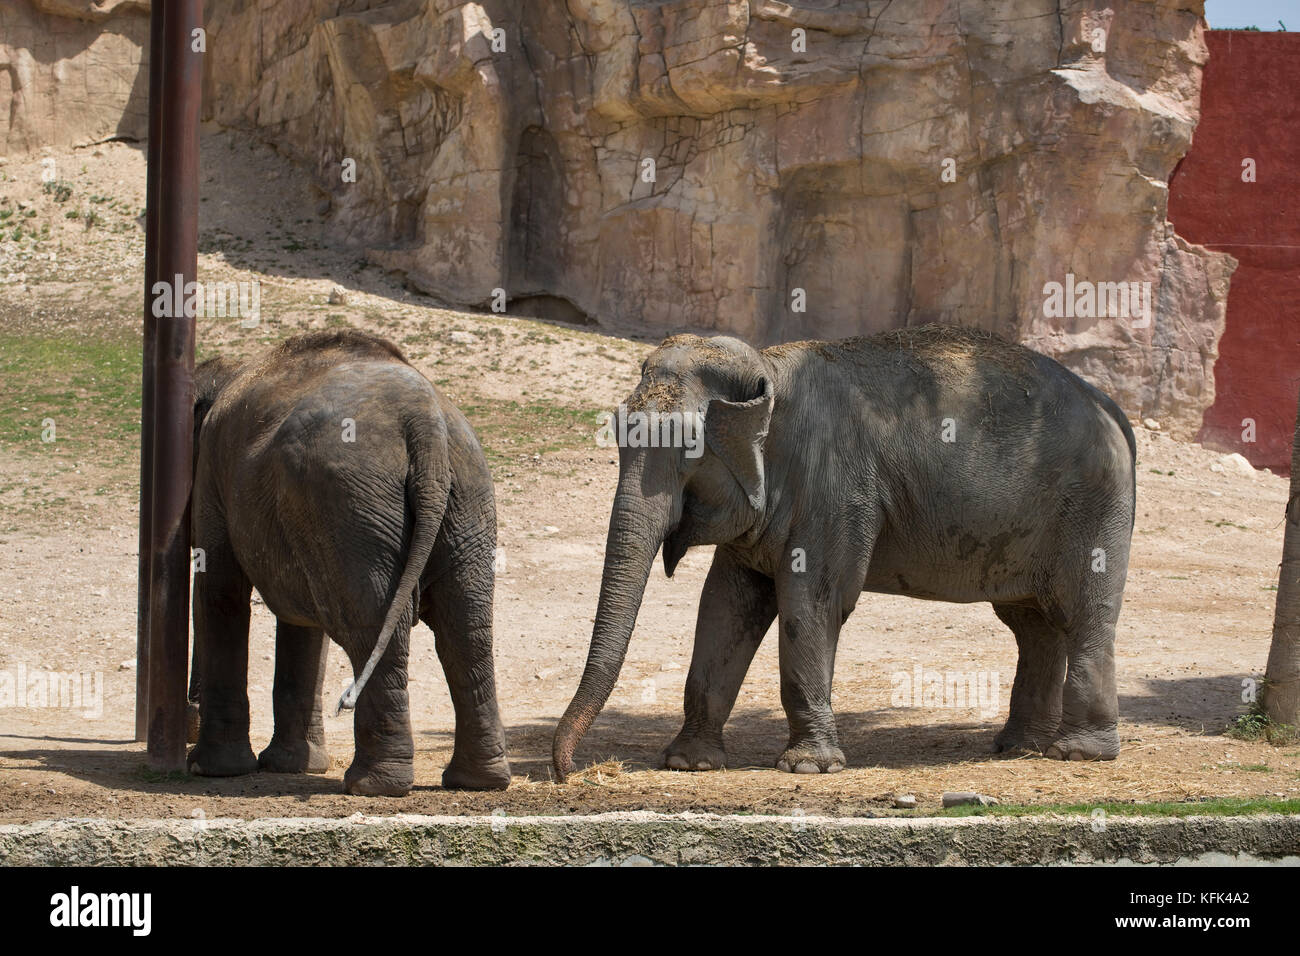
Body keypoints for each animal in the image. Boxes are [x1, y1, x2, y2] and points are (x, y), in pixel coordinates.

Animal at [187, 329, 510, 796]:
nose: (190, 707)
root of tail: (425, 426)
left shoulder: (215, 465)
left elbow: (220, 589)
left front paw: (210, 769)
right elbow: (300, 620)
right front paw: (290, 766)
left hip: (353, 505)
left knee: (370, 623)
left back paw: (371, 784)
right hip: (463, 498)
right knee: (466, 627)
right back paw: (476, 782)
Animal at [553, 325, 1136, 780]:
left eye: (688, 450)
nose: (569, 772)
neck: (768, 367)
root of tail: (1111, 408)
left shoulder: (834, 489)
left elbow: (813, 602)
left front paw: (808, 768)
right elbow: (725, 605)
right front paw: (688, 764)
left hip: (1092, 508)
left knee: (1082, 614)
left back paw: (1078, 754)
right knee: (1032, 624)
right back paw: (1019, 748)